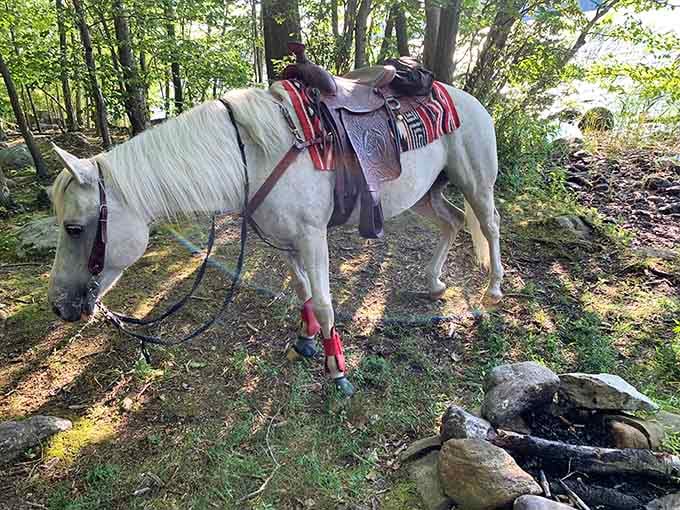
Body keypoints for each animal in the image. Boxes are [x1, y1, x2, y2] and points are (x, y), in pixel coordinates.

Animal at [48, 83, 503, 396]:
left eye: (73, 227)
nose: (59, 306)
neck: (255, 155)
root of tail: (466, 98)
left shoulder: (312, 237)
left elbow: (324, 302)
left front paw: (337, 370)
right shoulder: (286, 240)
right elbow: (303, 291)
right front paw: (304, 342)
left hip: (476, 182)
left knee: (489, 224)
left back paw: (493, 291)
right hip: (427, 193)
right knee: (453, 223)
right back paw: (434, 283)